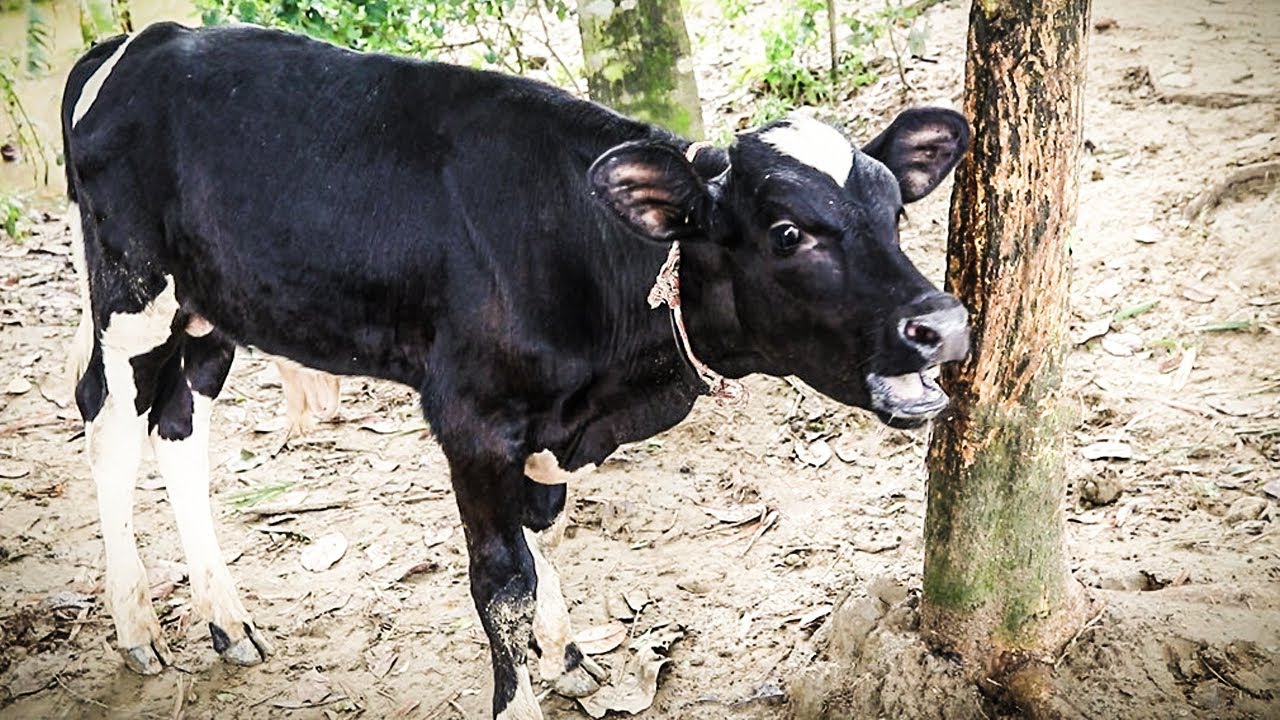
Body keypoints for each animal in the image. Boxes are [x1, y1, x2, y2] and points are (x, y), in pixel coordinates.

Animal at [61, 22, 970, 719]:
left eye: (896, 210)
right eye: (787, 233)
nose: (944, 323)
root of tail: (143, 39)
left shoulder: (549, 424)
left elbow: (541, 535)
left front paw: (565, 651)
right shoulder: (471, 415)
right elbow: (501, 583)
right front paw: (522, 691)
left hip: (211, 309)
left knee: (179, 425)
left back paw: (226, 620)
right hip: (131, 292)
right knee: (109, 423)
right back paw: (138, 626)